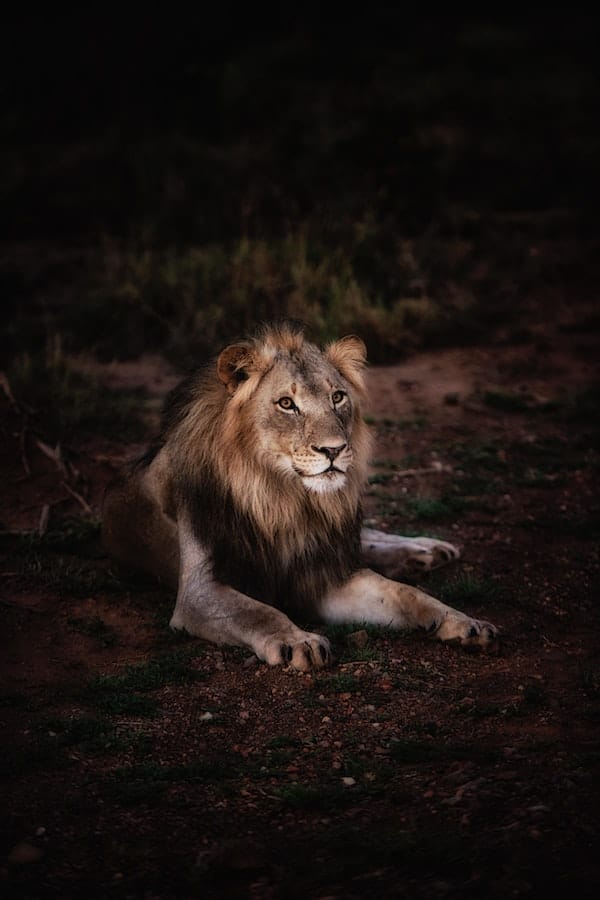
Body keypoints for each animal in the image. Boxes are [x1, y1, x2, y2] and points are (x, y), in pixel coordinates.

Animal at [102, 321, 498, 670]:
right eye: (286, 404)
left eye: (337, 397)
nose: (334, 450)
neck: (285, 500)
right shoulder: (199, 592)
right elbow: (260, 613)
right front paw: (299, 642)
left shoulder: (323, 574)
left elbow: (406, 593)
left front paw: (463, 621)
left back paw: (426, 550)